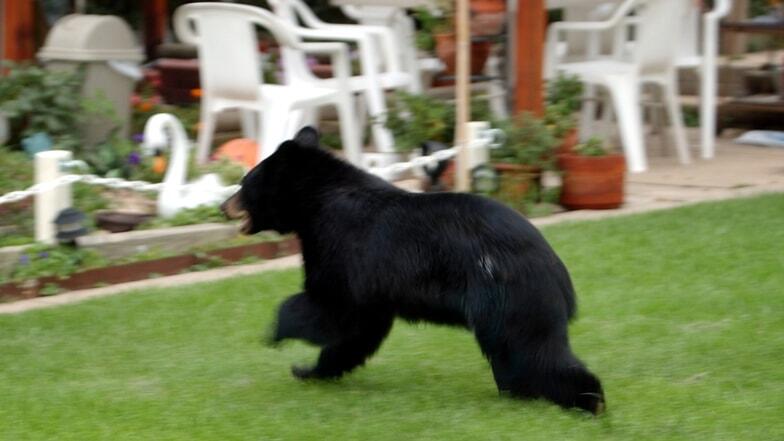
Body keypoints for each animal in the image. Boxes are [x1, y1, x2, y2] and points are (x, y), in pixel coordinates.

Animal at [221, 127, 605, 414]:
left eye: (244, 183)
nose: (223, 205)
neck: (316, 203)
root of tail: (556, 270)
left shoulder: (342, 246)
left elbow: (330, 307)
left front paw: (277, 334)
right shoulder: (373, 290)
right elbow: (358, 331)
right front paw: (312, 370)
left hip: (510, 299)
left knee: (536, 350)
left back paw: (589, 401)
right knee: (519, 355)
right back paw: (522, 393)